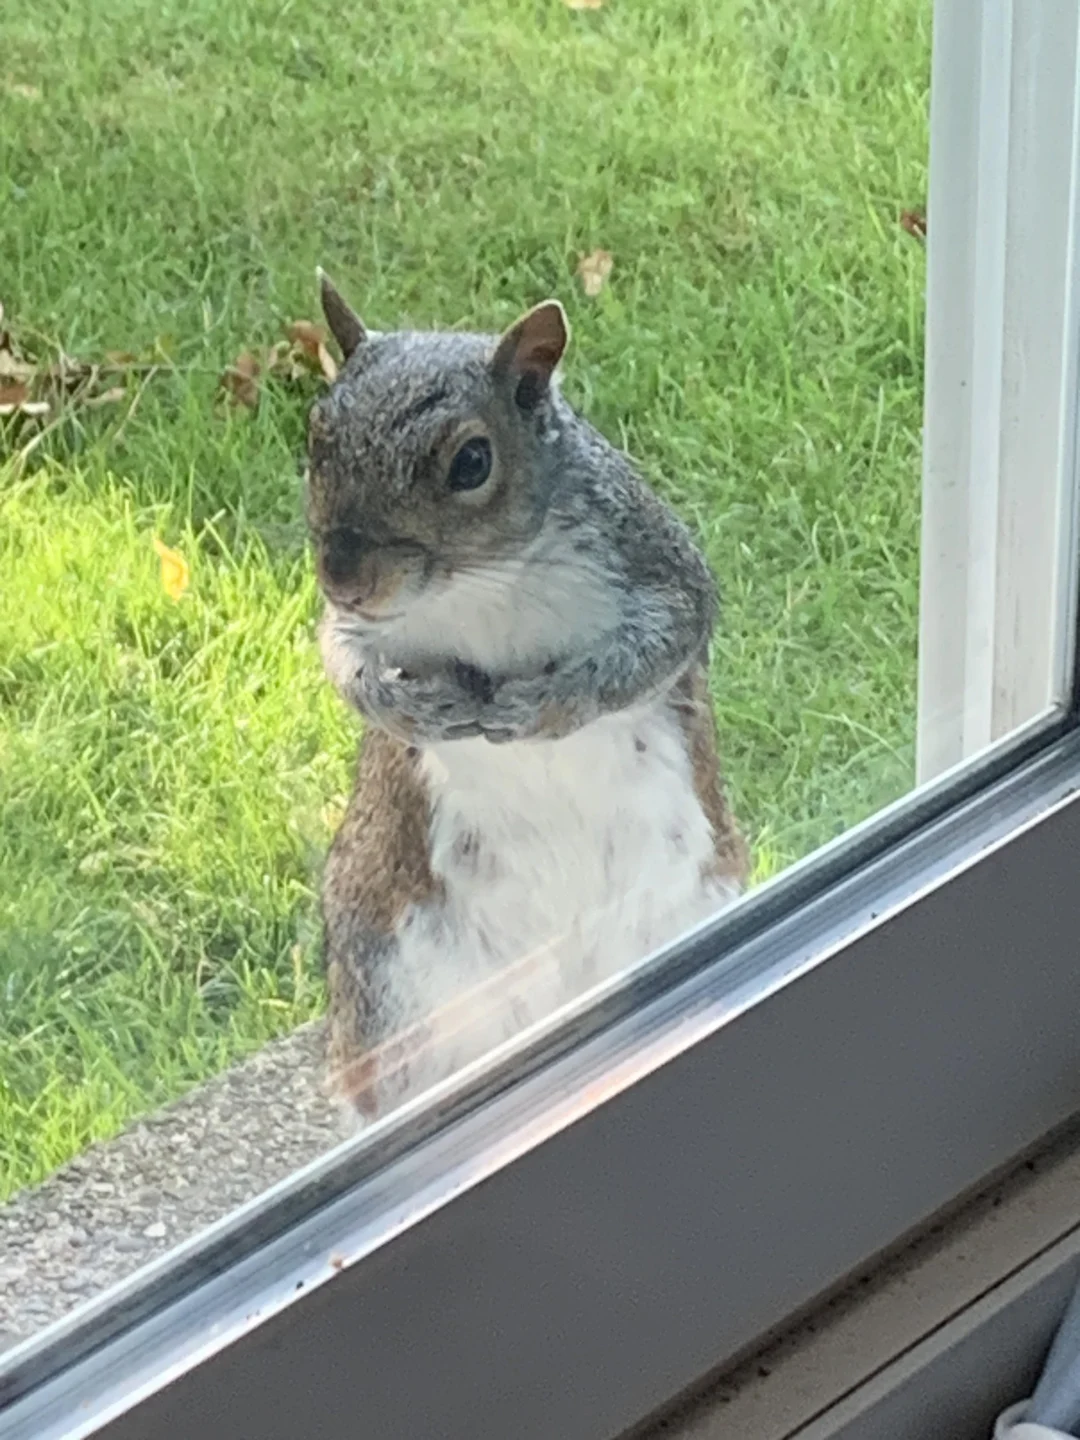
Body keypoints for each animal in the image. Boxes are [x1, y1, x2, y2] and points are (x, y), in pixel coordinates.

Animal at [308, 271, 749, 1120]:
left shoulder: (655, 565)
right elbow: (340, 660)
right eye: (316, 439)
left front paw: (548, 704)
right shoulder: (360, 626)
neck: (483, 580)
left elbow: (659, 644)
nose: (343, 574)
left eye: (471, 462)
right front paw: (404, 708)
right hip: (389, 993)